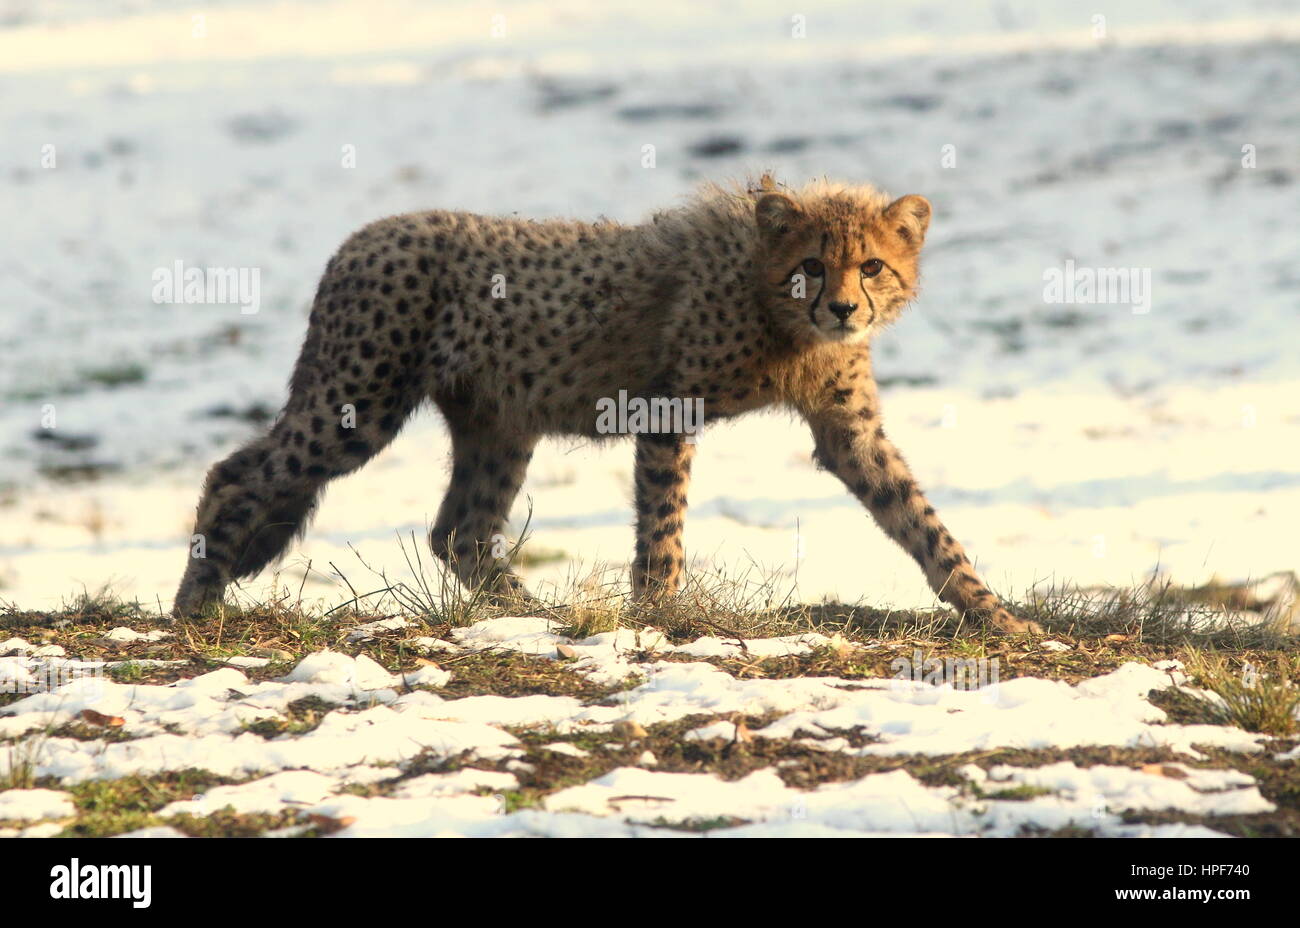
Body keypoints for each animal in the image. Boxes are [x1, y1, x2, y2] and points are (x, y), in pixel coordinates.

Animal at [173, 175, 1041, 634]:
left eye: (871, 265)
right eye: (810, 267)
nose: (844, 310)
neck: (780, 322)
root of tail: (361, 236)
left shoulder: (848, 432)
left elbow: (922, 522)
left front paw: (994, 614)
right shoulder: (665, 408)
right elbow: (664, 526)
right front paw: (657, 611)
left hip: (499, 422)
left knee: (460, 532)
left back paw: (538, 617)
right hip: (360, 401)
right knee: (239, 473)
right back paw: (196, 604)